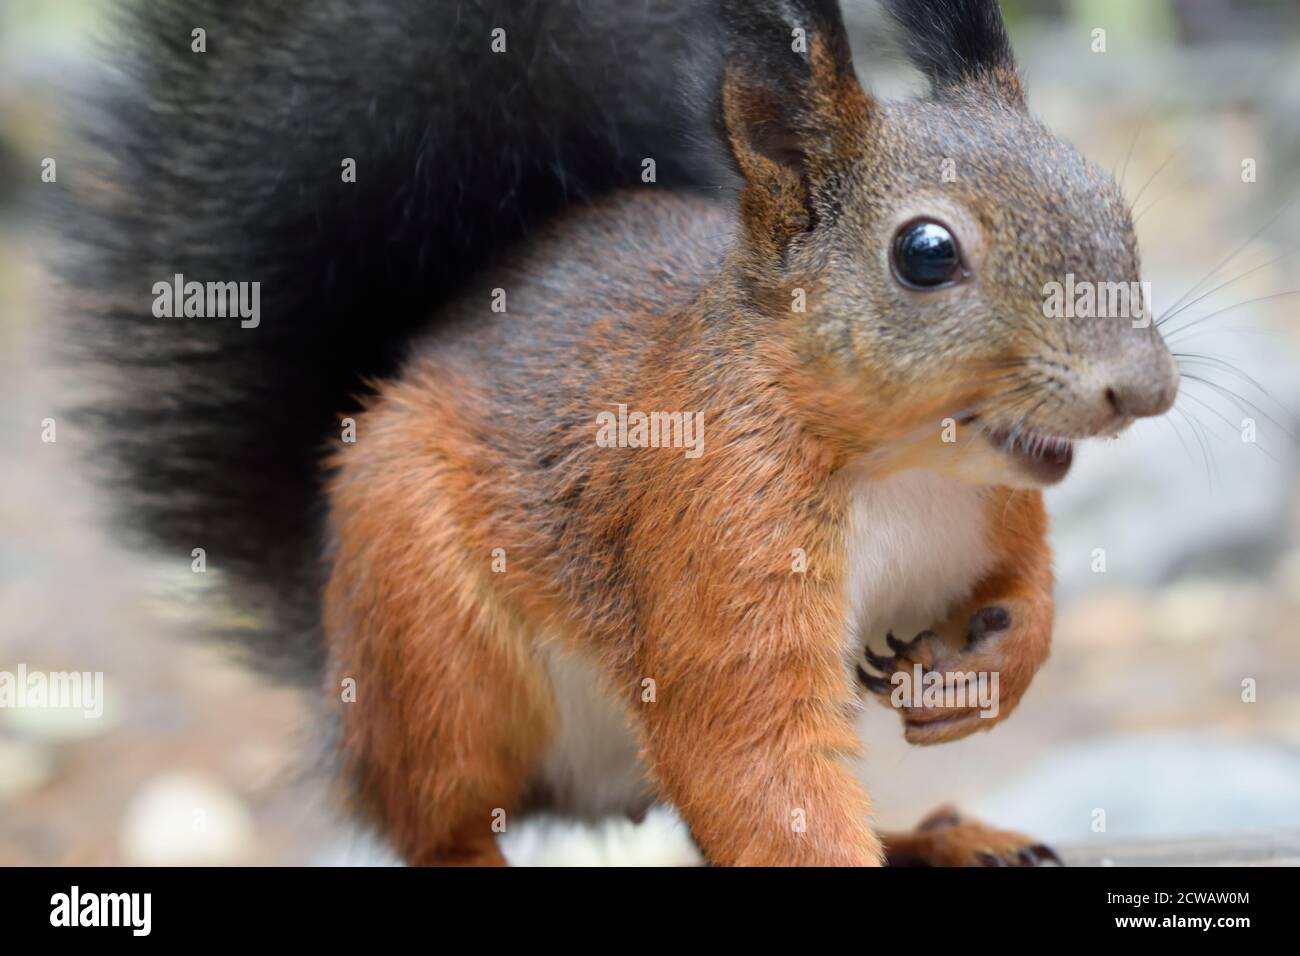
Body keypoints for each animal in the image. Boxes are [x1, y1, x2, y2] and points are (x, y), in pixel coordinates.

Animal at [56, 0, 1178, 866]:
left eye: (1113, 205)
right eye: (927, 253)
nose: (1146, 389)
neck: (903, 467)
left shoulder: (998, 510)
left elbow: (1028, 593)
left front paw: (982, 670)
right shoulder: (713, 534)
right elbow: (750, 761)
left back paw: (944, 838)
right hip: (427, 642)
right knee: (436, 821)